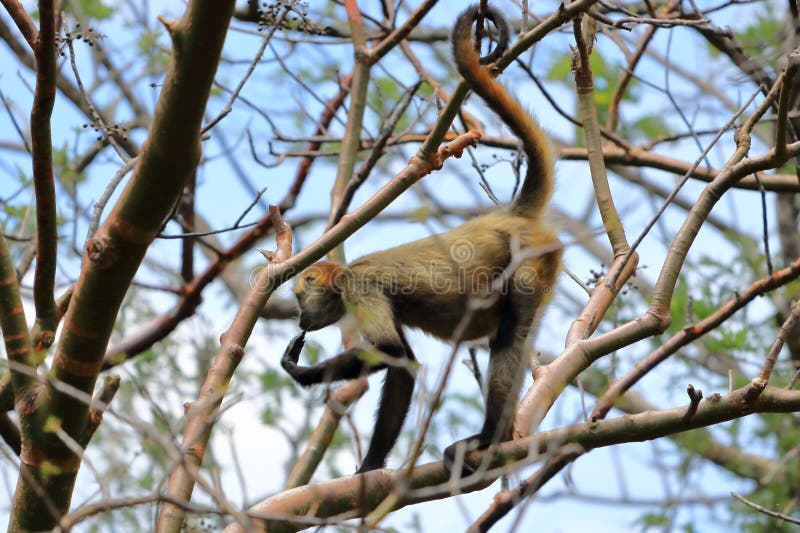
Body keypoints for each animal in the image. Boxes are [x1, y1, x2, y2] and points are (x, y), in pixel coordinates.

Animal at [280, 4, 561, 475]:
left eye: (301, 297)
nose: (301, 320)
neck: (345, 273)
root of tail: (510, 214)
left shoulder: (361, 286)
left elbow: (396, 356)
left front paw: (306, 378)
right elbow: (402, 360)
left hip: (530, 261)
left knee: (509, 336)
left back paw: (490, 437)